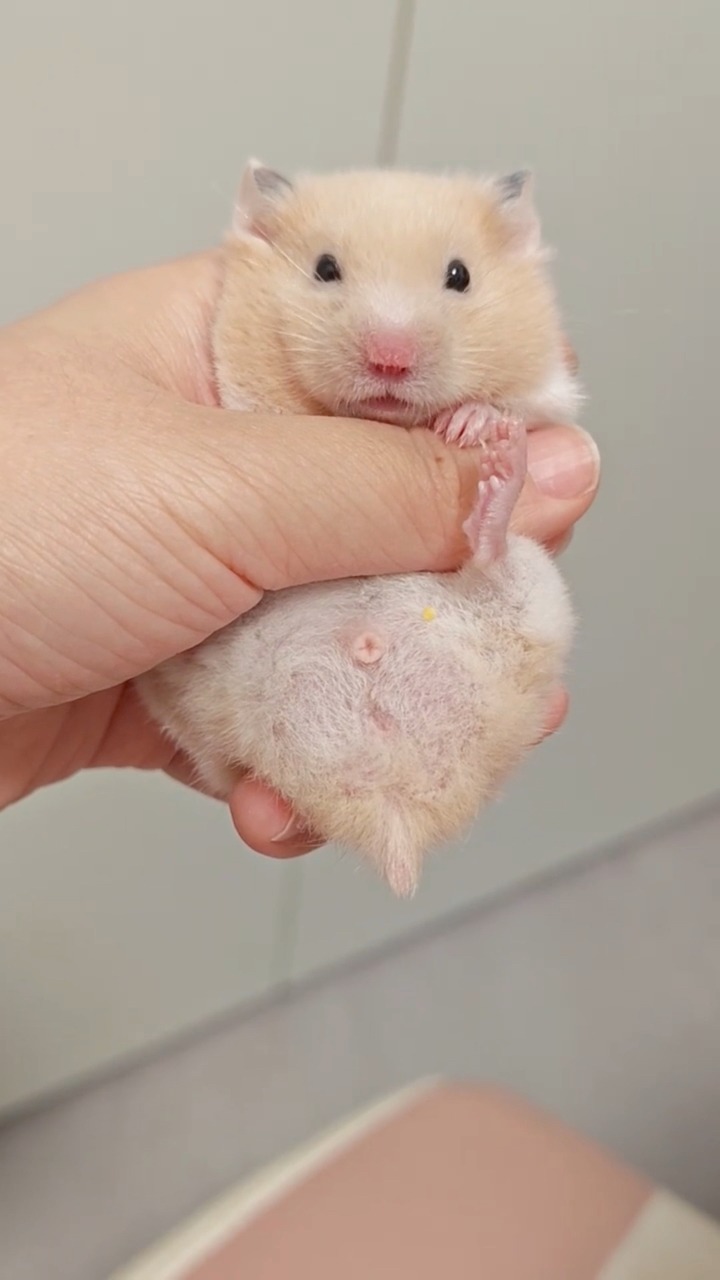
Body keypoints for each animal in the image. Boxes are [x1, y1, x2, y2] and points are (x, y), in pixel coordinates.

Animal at [137, 159, 579, 897]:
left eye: (459, 275)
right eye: (325, 269)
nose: (390, 359)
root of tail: (396, 806)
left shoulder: (550, 390)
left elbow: (522, 407)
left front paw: (475, 425)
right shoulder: (241, 382)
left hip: (539, 595)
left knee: (492, 566)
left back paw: (500, 480)